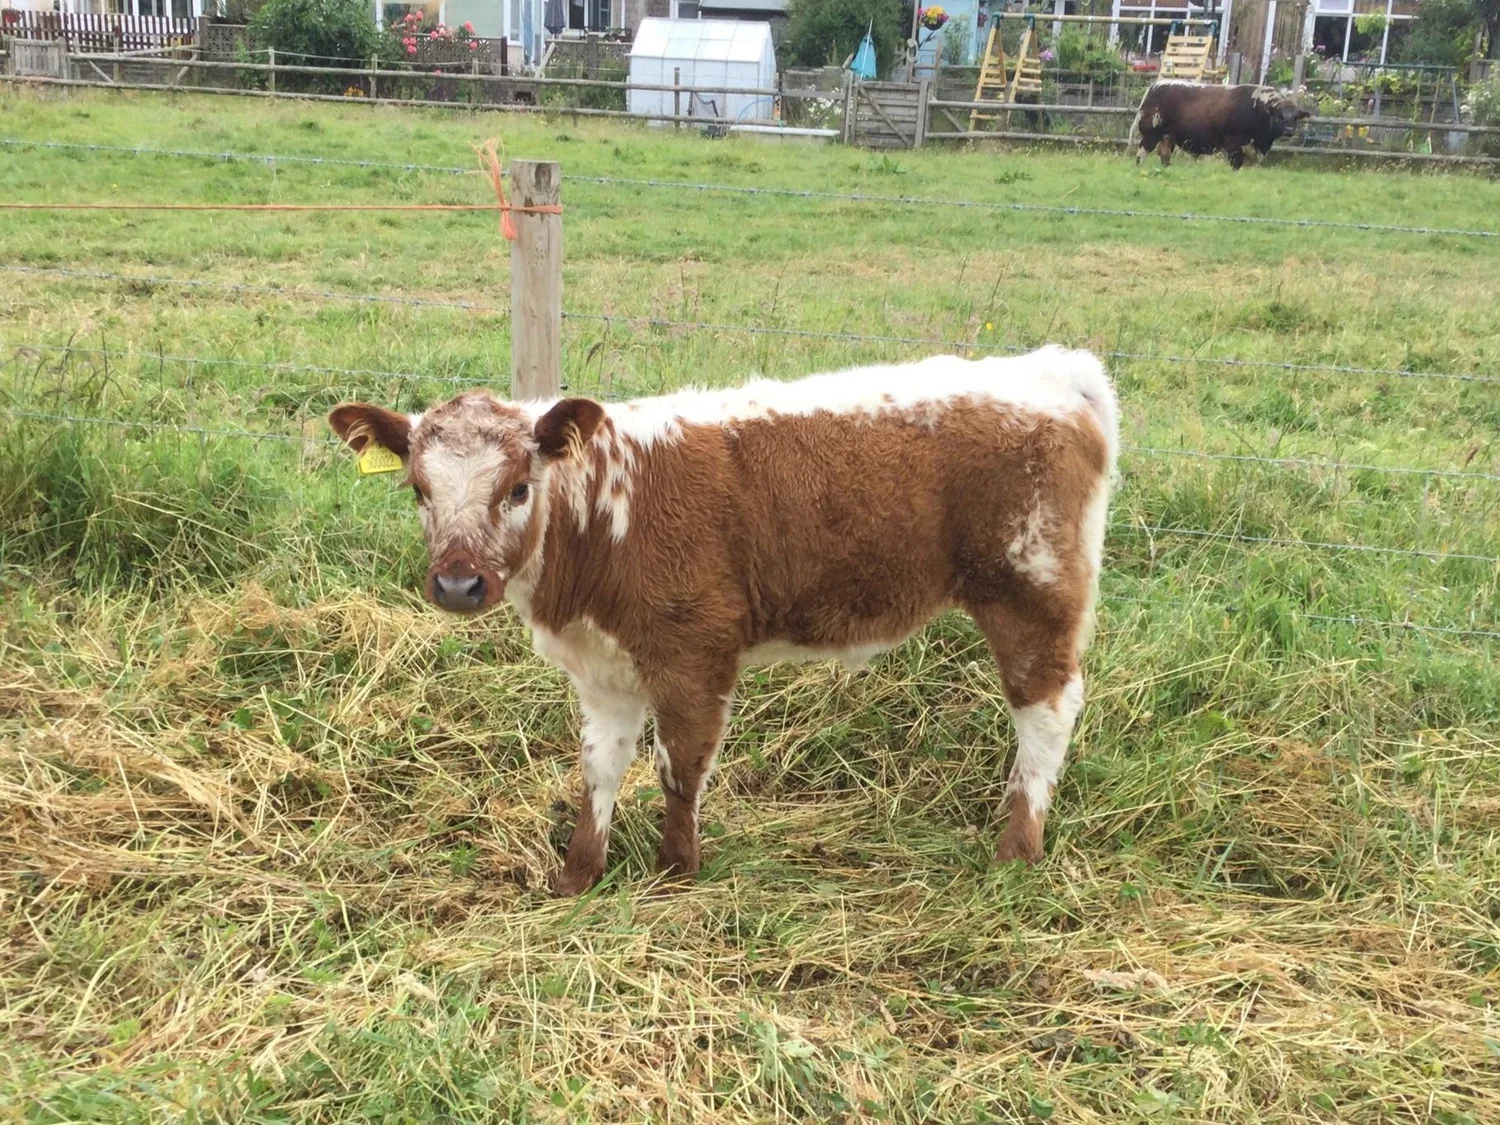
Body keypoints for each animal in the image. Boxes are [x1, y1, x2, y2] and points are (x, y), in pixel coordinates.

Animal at [328, 347, 1119, 896]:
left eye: (519, 487)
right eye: (418, 489)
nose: (458, 584)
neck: (604, 514)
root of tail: (1054, 368)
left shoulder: (694, 649)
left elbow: (679, 766)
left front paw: (676, 869)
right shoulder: (603, 668)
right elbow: (600, 767)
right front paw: (579, 874)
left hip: (1032, 590)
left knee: (1046, 710)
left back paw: (1017, 849)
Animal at [1130, 80, 1312, 169]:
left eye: (1295, 117)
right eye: (1280, 116)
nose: (1289, 130)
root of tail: (1156, 85)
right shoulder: (1234, 143)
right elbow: (1236, 164)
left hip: (1168, 137)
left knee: (1164, 155)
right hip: (1151, 134)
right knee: (1141, 153)